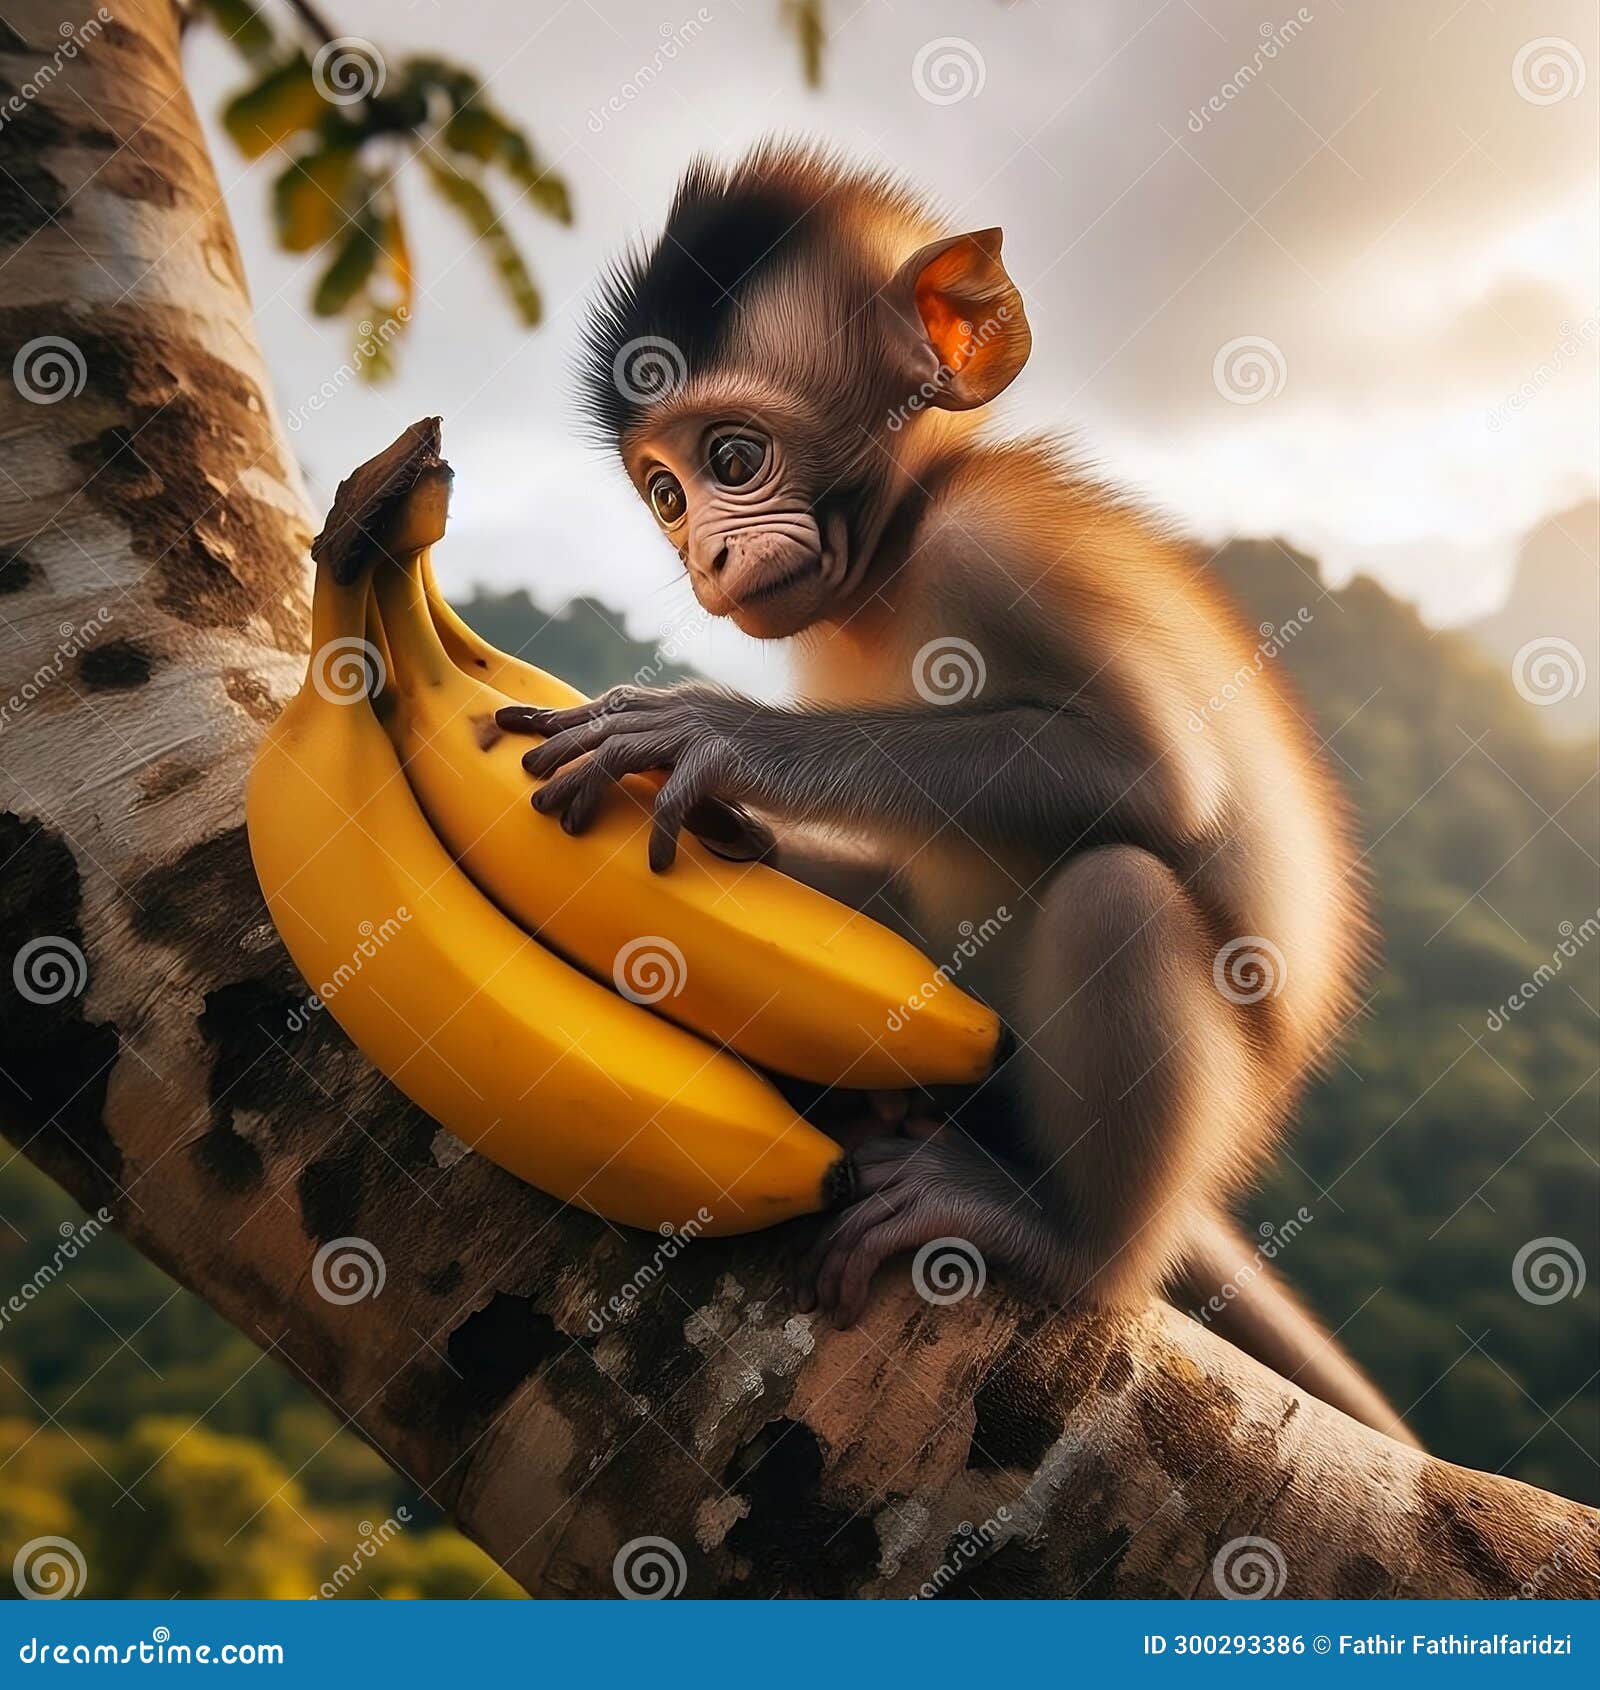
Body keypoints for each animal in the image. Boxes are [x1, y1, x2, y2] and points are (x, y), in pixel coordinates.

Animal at [495, 142, 1417, 1446]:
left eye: (733, 461)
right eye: (666, 497)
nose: (708, 557)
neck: (895, 551)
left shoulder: (1000, 548)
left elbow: (1155, 775)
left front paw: (713, 738)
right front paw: (723, 817)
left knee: (1119, 891)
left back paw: (1063, 1239)